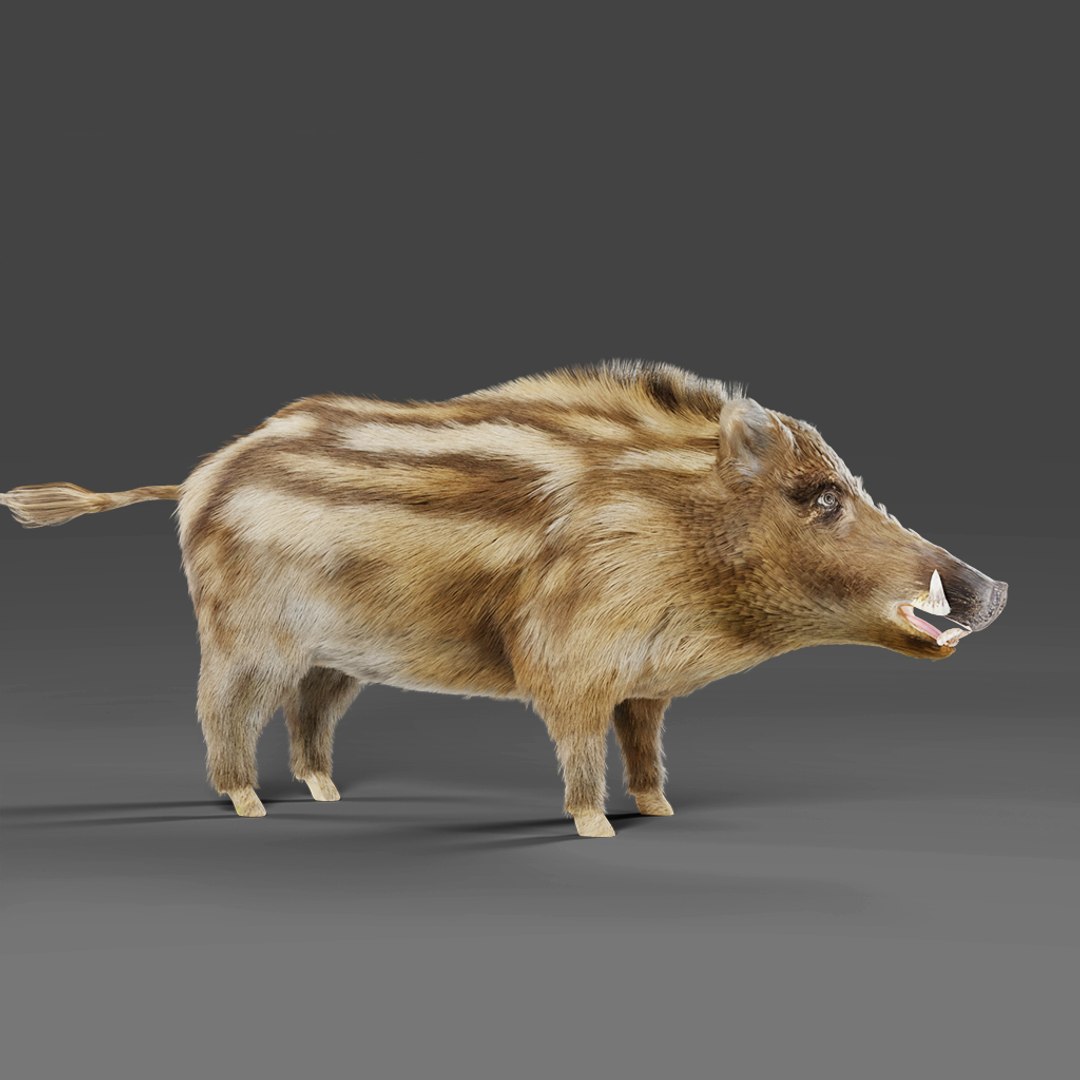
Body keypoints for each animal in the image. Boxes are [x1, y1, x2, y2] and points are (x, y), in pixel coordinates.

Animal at [0, 361, 1007, 837]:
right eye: (822, 499)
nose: (992, 588)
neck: (682, 534)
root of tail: (199, 476)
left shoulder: (644, 682)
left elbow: (644, 749)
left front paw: (660, 813)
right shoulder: (571, 665)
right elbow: (582, 754)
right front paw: (597, 828)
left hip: (335, 658)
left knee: (310, 715)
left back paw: (326, 793)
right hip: (245, 639)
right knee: (221, 713)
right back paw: (249, 806)